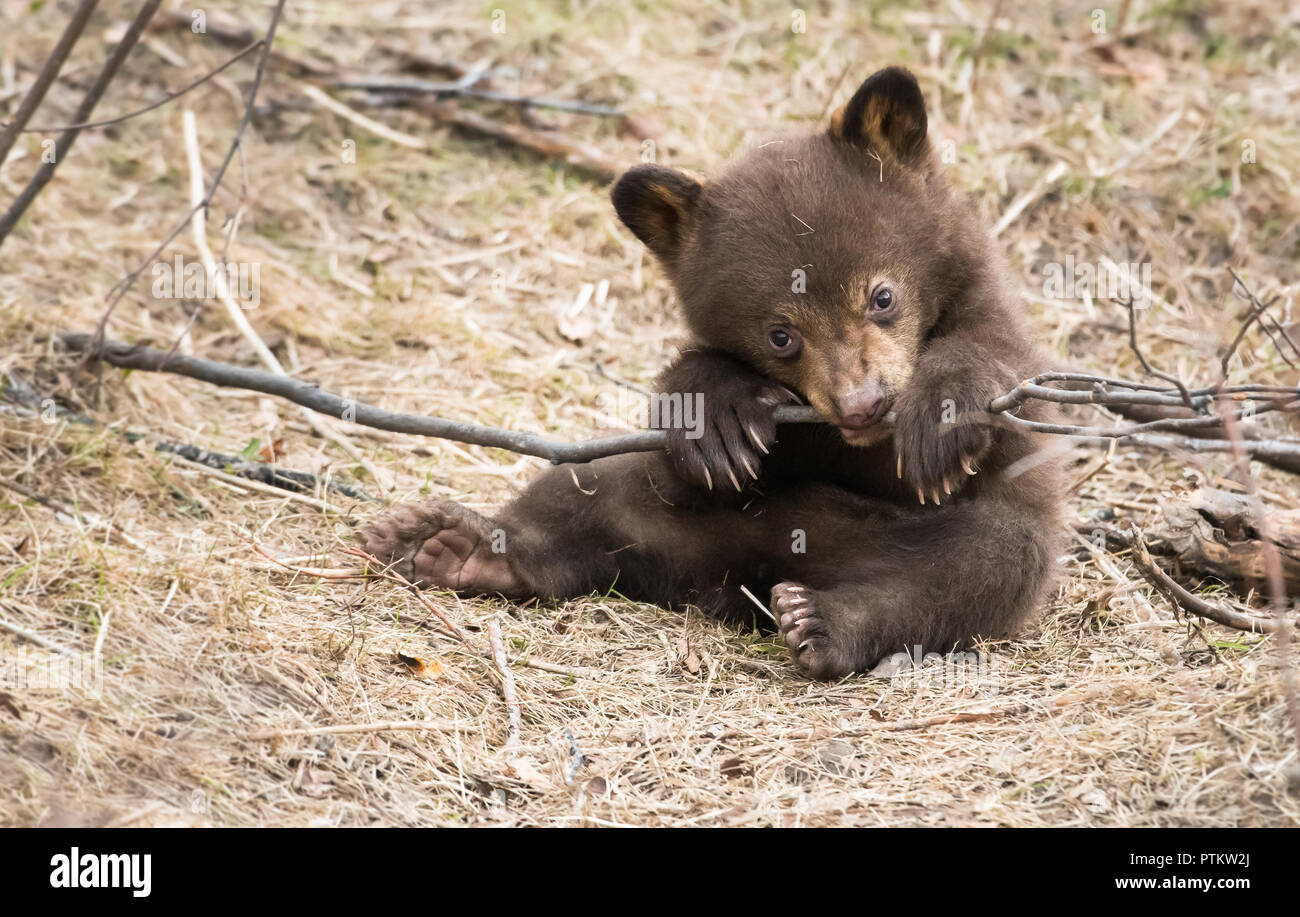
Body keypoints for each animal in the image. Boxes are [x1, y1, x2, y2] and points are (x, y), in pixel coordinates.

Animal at [360, 67, 1066, 679]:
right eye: (781, 335)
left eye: (882, 296)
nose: (862, 404)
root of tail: (737, 578)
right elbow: (694, 389)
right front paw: (718, 416)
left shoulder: (994, 326)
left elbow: (999, 372)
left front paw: (937, 426)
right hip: (667, 499)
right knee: (587, 491)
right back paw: (455, 546)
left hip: (960, 546)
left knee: (973, 568)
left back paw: (820, 622)